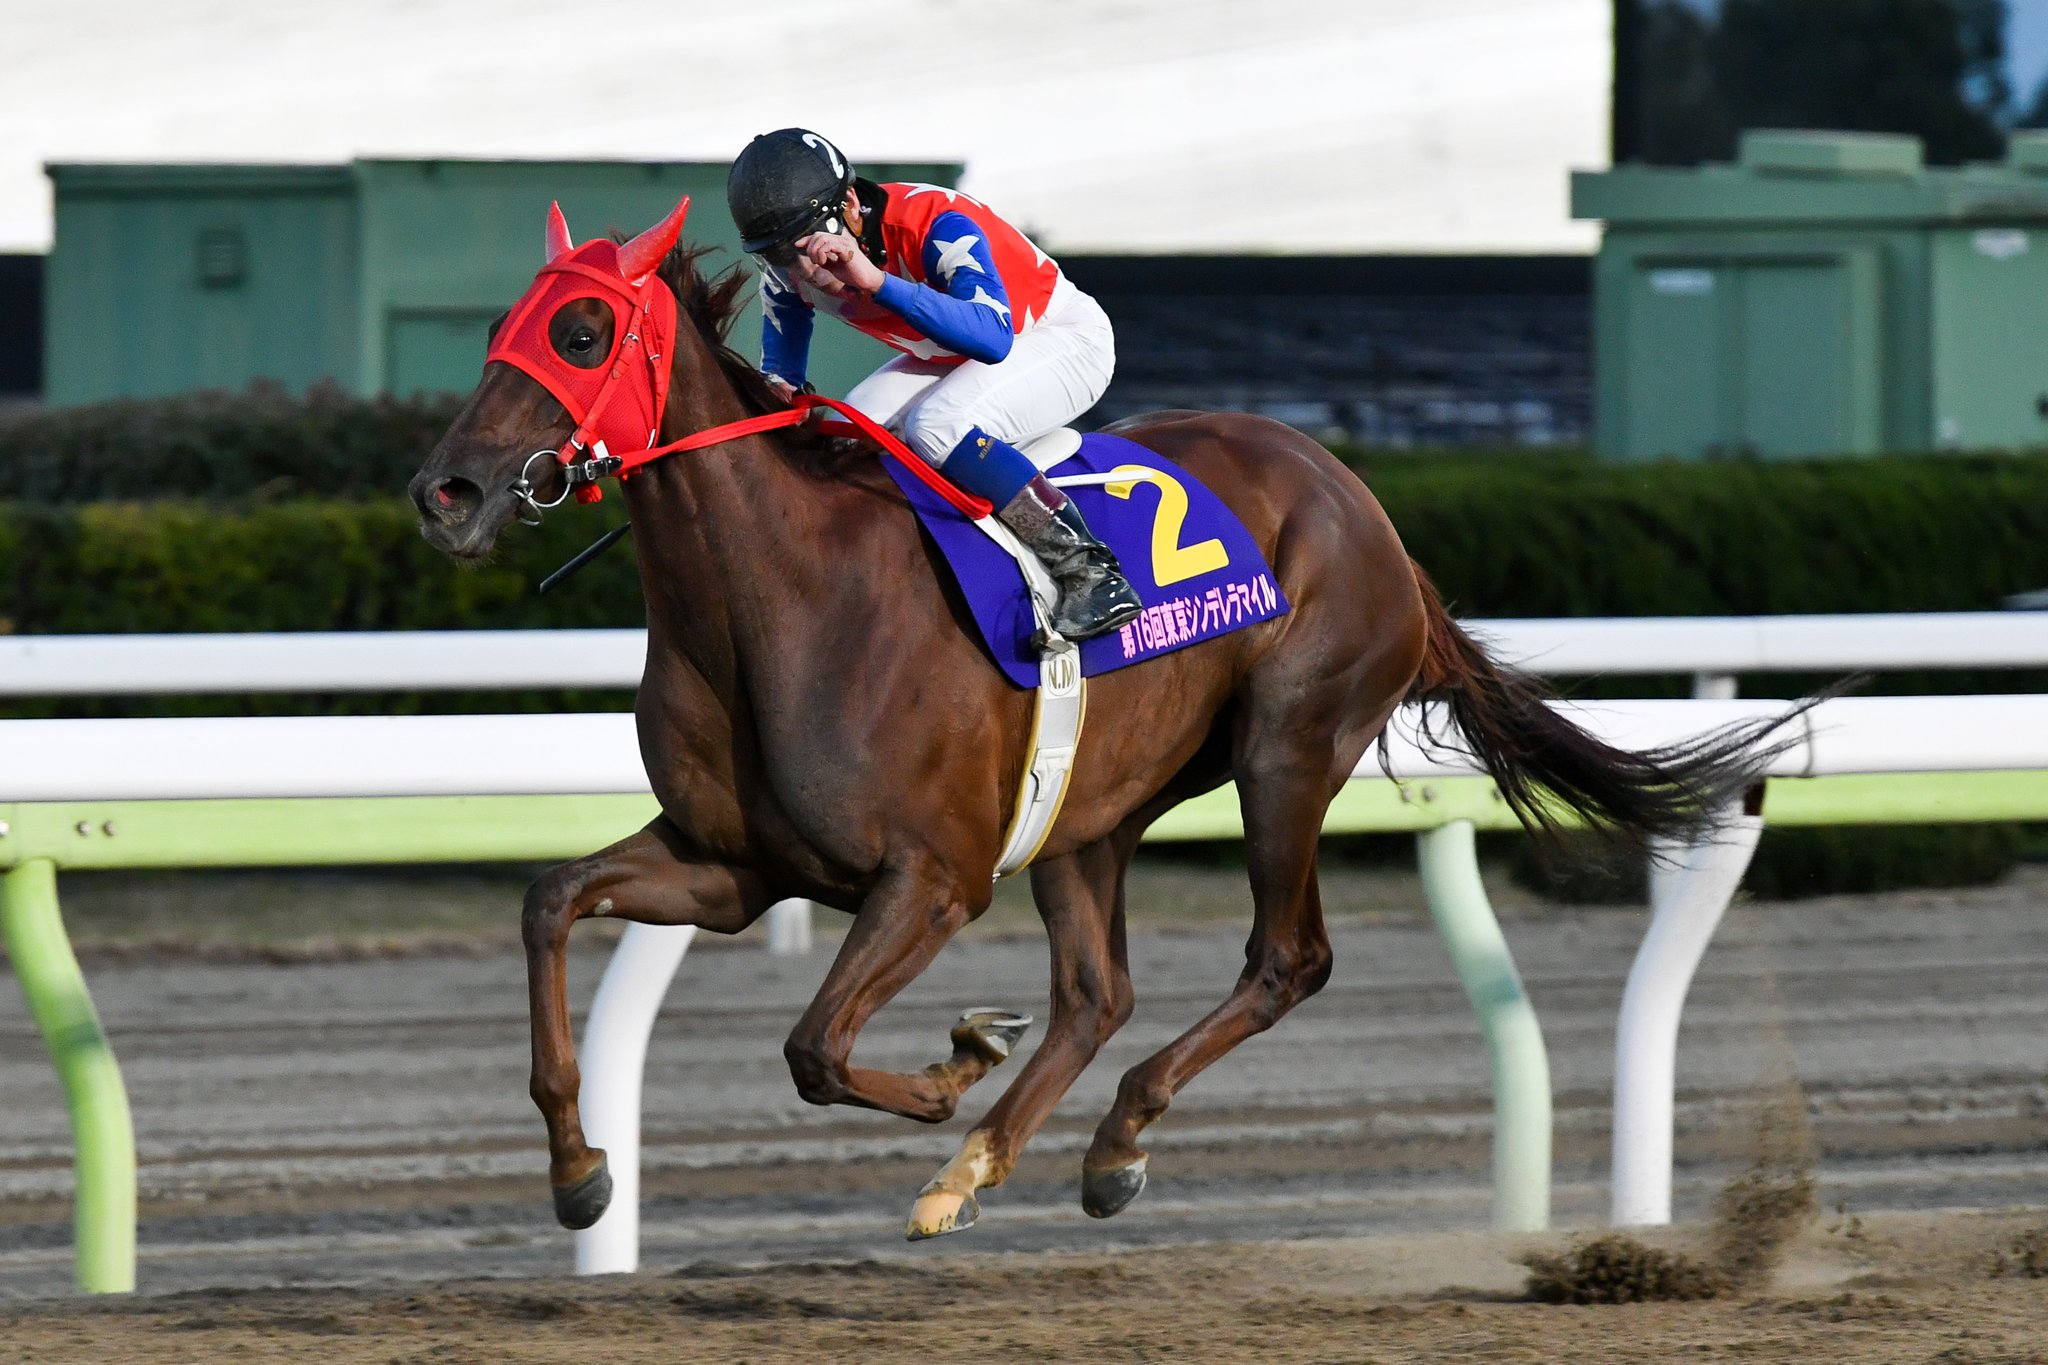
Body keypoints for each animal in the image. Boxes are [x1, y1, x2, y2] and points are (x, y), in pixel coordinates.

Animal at [407, 198, 1779, 1240]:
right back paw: (988, 1165)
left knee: (1284, 959)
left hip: (1289, 745)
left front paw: (956, 1058)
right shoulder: (731, 867)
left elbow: (814, 1050)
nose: (446, 493)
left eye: (583, 329)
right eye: (497, 326)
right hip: (1090, 811)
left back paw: (1108, 1138)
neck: (783, 600)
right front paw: (579, 1172)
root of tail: (1366, 508)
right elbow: (548, 902)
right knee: (1094, 992)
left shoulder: (934, 878)